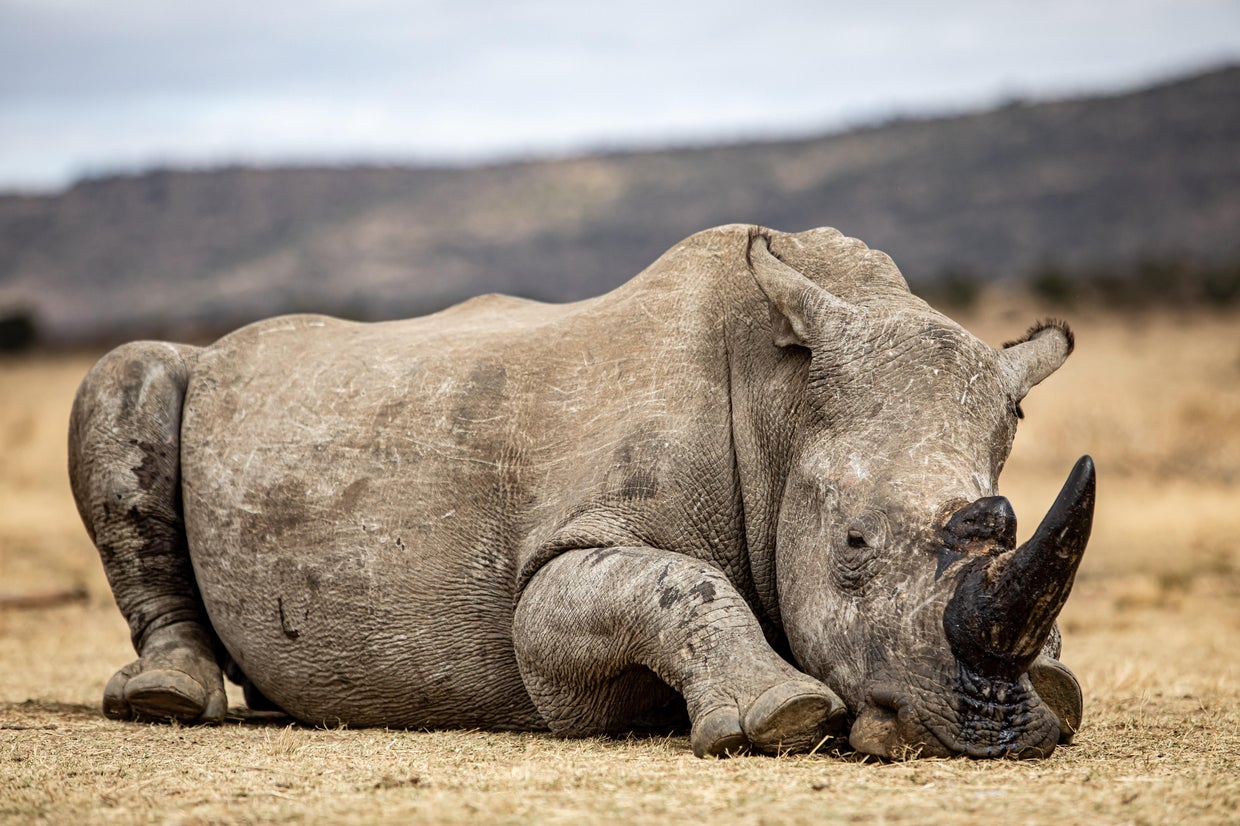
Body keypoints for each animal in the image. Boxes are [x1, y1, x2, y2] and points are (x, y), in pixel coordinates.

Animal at [69, 224, 1092, 759]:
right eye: (853, 548)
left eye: (1009, 527)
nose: (996, 734)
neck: (782, 404)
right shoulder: (555, 582)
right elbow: (671, 584)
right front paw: (781, 720)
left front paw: (1058, 687)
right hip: (186, 376)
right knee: (125, 379)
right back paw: (165, 699)